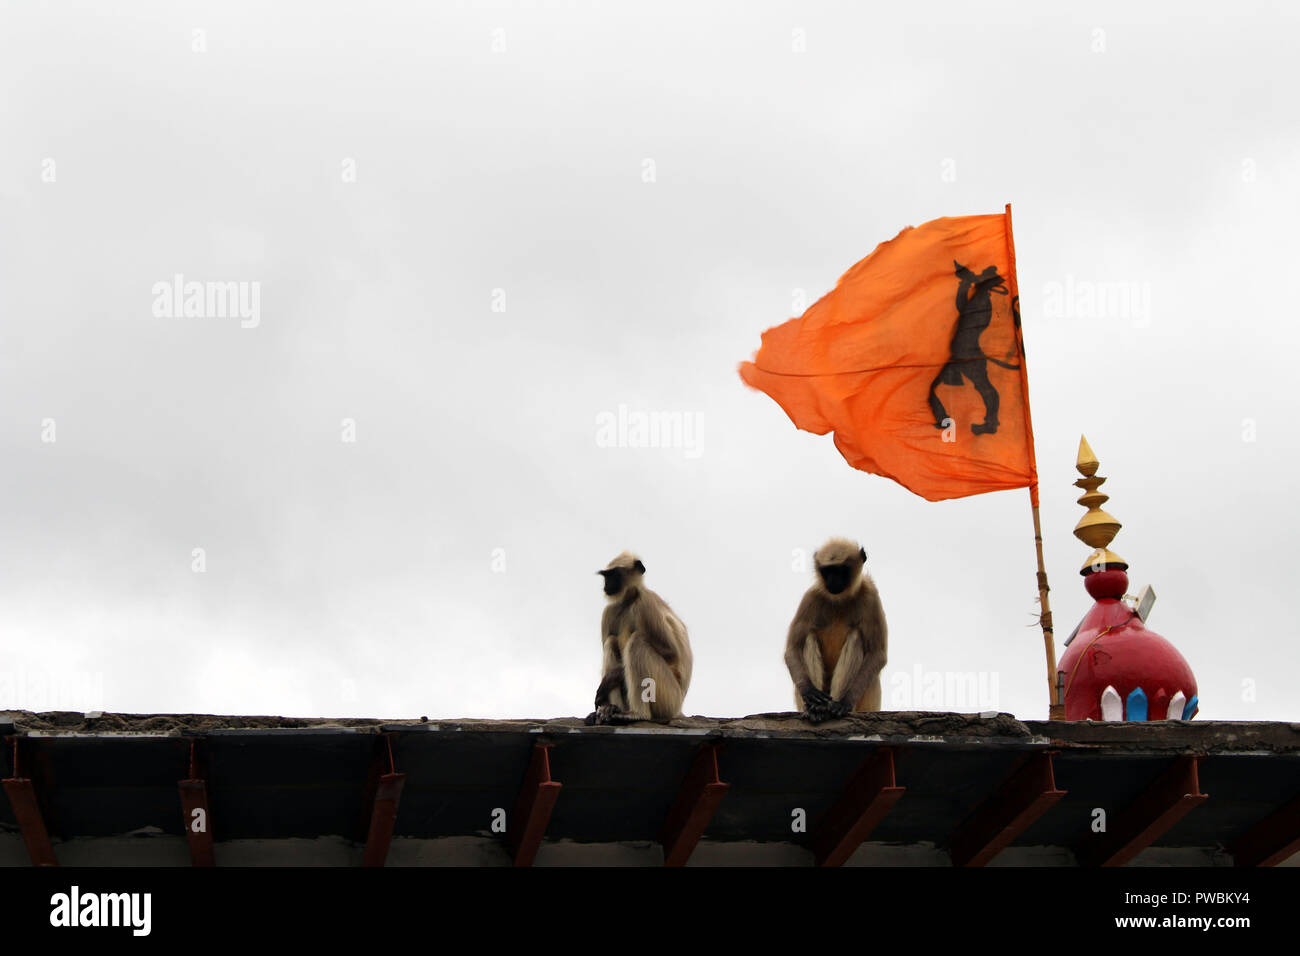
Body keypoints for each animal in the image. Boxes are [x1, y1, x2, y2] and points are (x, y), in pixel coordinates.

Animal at [585, 552, 692, 726]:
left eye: (614, 575)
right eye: (606, 576)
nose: (606, 585)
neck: (630, 600)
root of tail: (678, 709)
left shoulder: (647, 602)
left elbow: (671, 654)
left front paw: (615, 675)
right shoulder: (609, 611)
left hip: (670, 698)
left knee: (637, 642)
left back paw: (638, 714)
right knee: (611, 642)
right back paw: (611, 709)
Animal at [784, 537, 887, 724]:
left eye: (841, 570)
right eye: (828, 571)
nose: (833, 581)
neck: (841, 600)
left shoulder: (871, 596)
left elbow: (877, 654)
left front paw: (846, 702)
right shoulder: (810, 597)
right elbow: (792, 649)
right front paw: (808, 690)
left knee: (856, 638)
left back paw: (836, 706)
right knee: (808, 638)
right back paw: (815, 708)